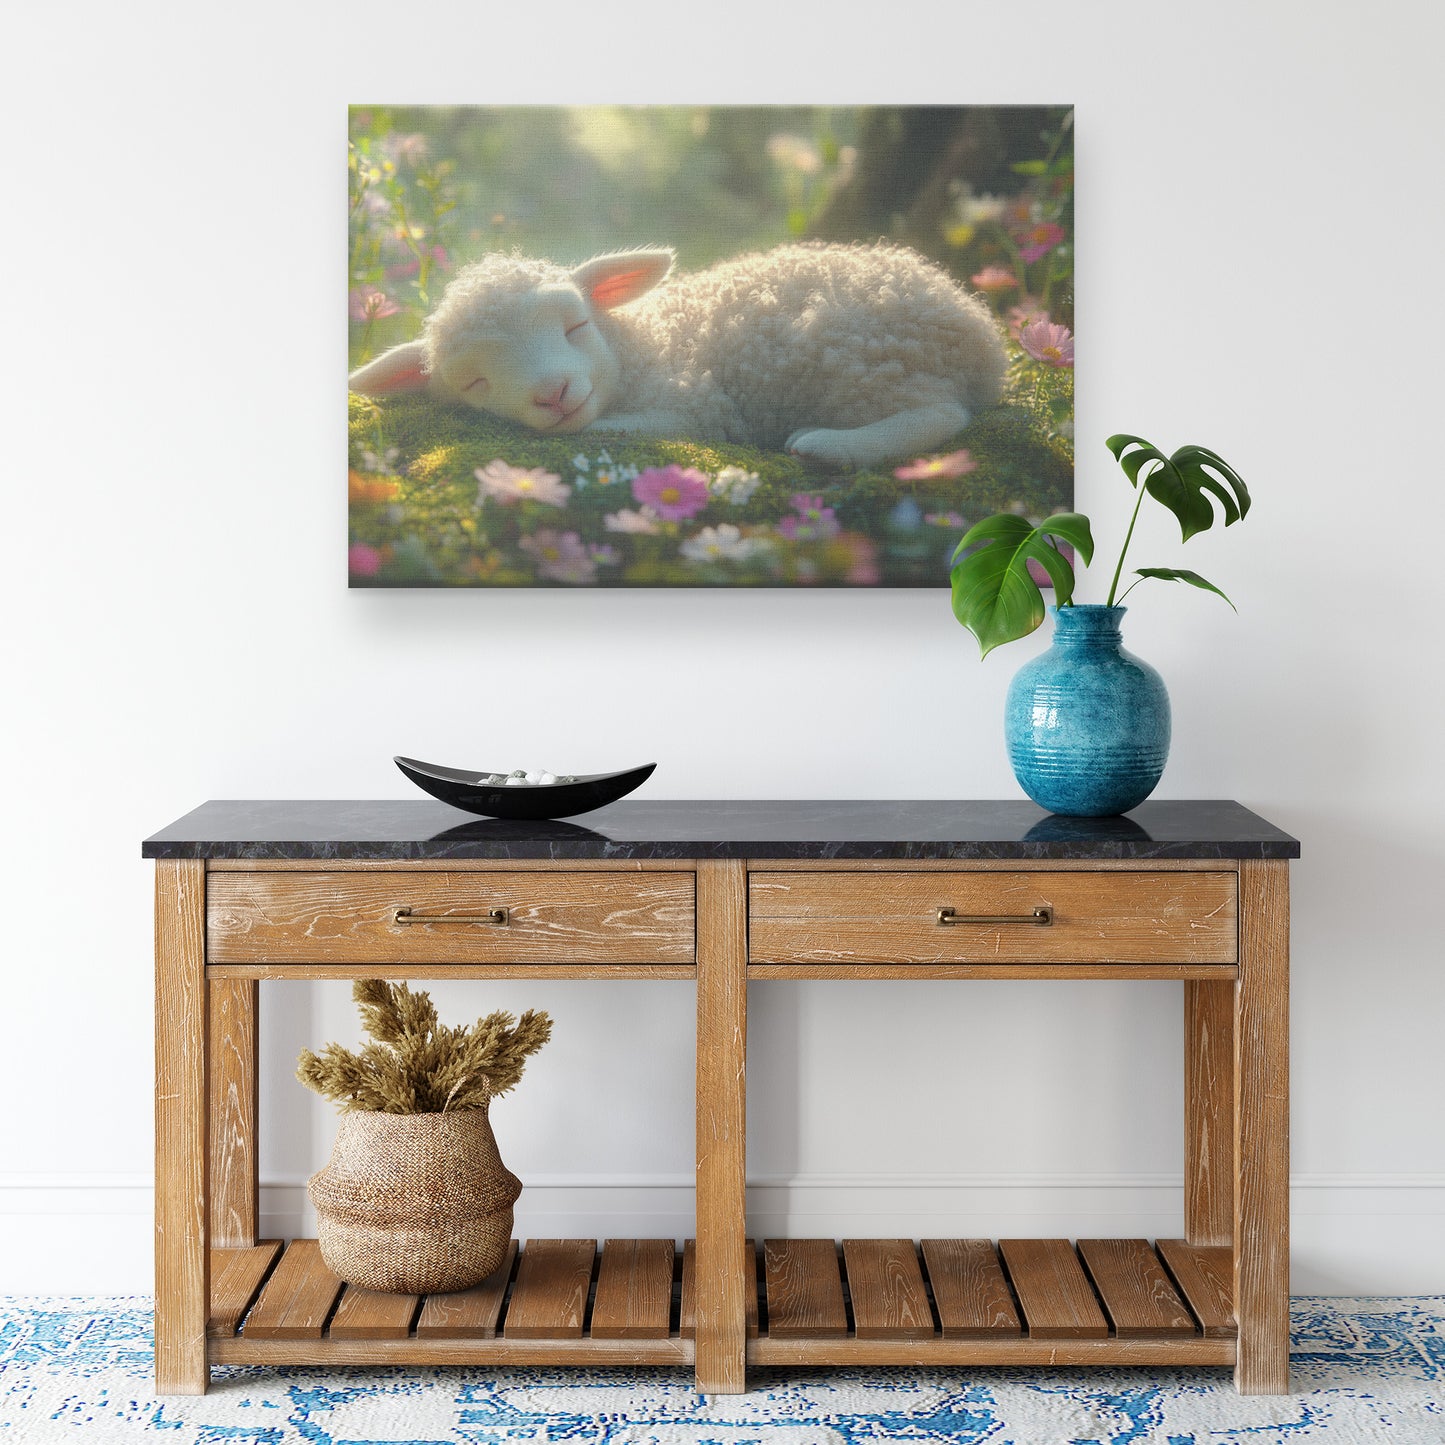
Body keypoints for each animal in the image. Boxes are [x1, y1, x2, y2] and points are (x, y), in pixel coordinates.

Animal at [348, 241, 1007, 471]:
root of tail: (979, 333)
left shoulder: (697, 405)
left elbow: (621, 426)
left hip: (865, 358)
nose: (554, 394)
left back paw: (826, 445)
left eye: (575, 324)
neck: (643, 343)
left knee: (940, 415)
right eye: (475, 384)